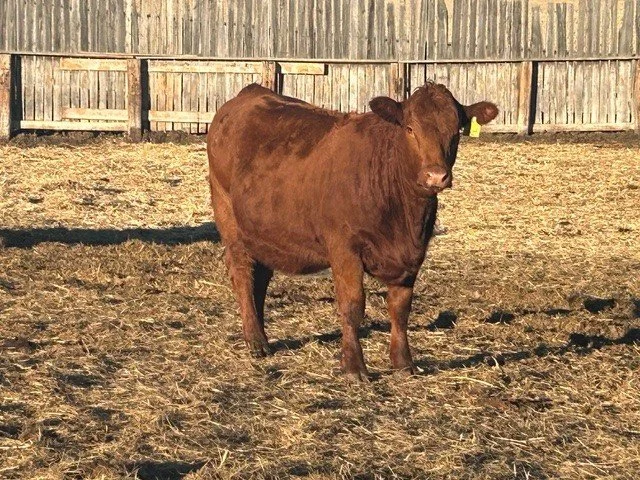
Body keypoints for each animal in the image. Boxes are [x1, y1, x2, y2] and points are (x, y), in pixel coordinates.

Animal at [207, 82, 498, 381]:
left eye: (456, 131)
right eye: (409, 128)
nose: (436, 176)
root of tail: (250, 92)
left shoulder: (412, 257)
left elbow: (400, 309)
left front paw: (403, 362)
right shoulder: (345, 250)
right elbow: (352, 306)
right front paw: (354, 366)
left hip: (265, 232)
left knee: (262, 277)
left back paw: (262, 334)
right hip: (228, 215)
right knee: (242, 274)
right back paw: (255, 341)